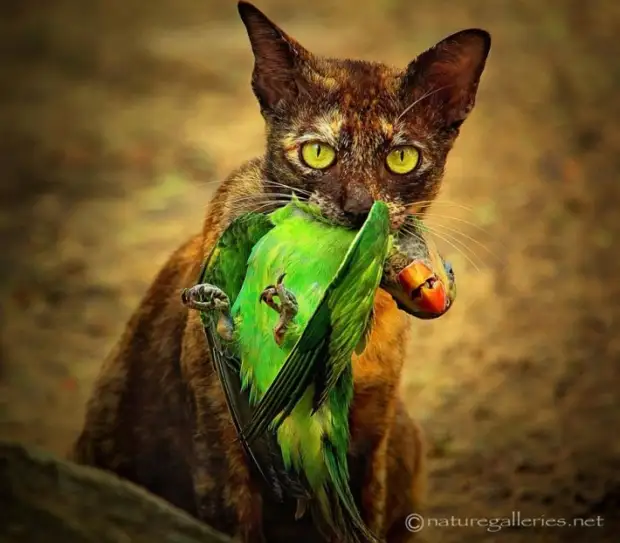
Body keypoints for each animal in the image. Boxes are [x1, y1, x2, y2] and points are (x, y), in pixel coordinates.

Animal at [71, 2, 490, 540]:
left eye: (402, 158)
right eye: (317, 152)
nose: (360, 209)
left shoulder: (371, 439)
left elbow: (365, 519)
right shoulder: (222, 448)